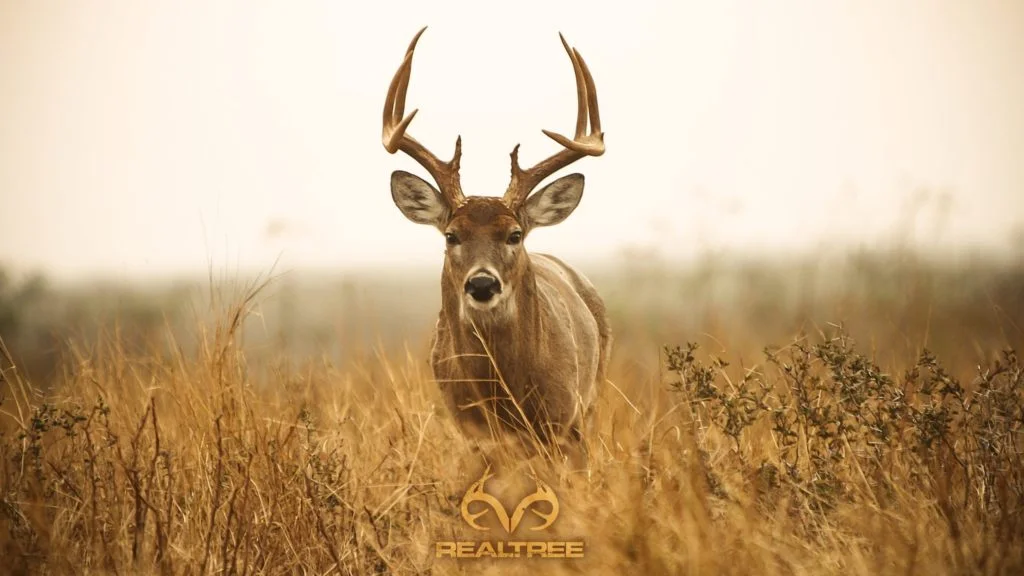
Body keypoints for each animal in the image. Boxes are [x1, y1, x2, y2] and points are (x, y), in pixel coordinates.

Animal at [381, 27, 611, 447]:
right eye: (451, 235)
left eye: (514, 234)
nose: (483, 284)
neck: (506, 397)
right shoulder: (473, 435)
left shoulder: (565, 423)